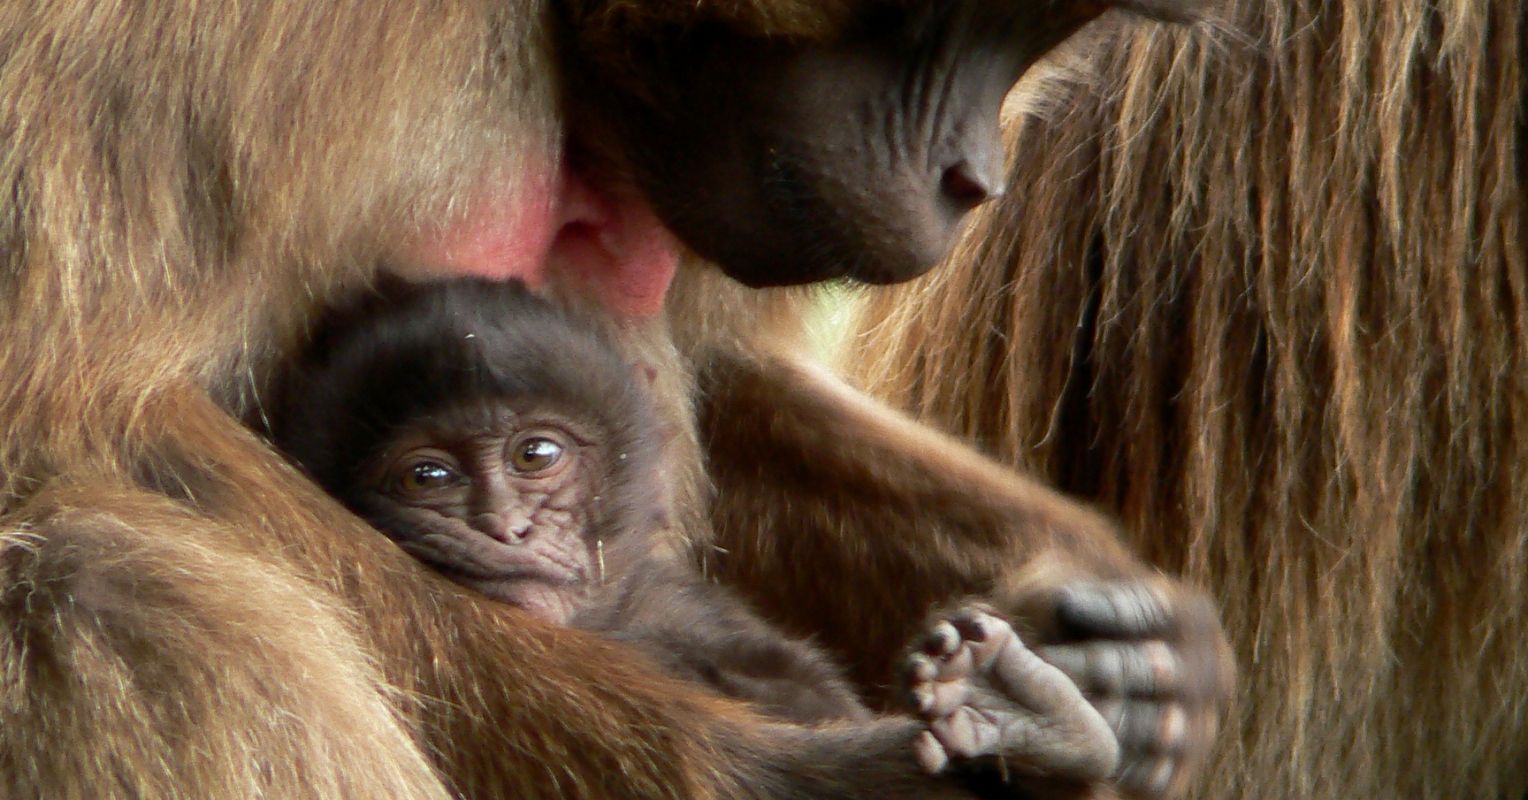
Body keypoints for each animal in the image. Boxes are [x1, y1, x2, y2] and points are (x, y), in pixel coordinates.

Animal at [0, 0, 1233, 798]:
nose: (969, 178)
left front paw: (1121, 652)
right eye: (431, 477)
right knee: (111, 582)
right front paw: (808, 778)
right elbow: (75, 420)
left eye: (541, 459)